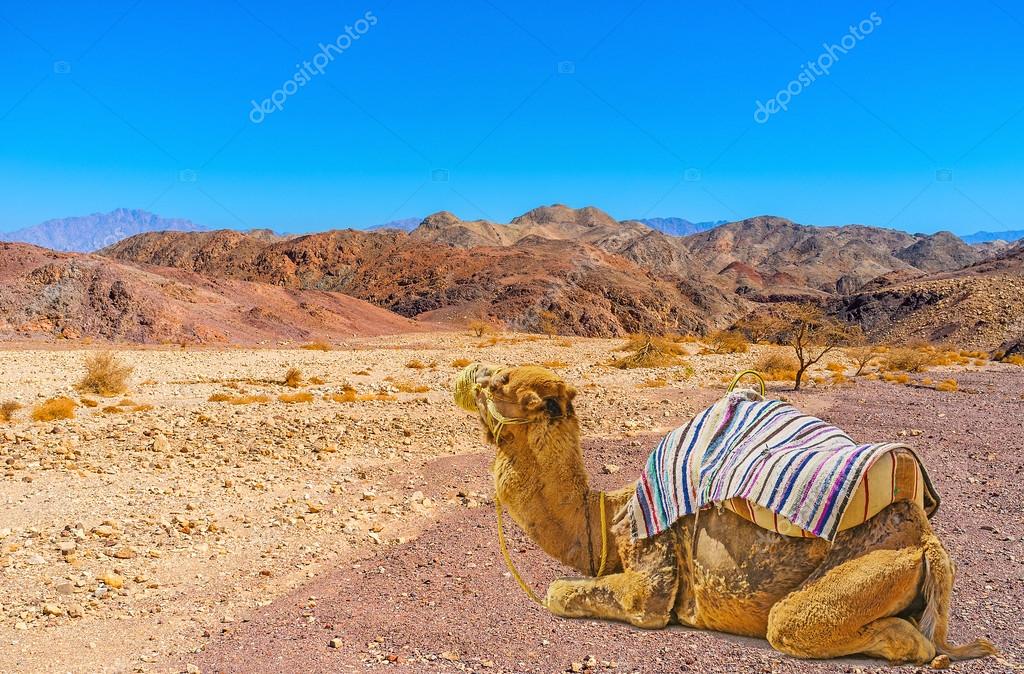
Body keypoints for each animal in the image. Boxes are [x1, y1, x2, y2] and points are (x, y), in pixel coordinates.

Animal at [456, 363, 997, 665]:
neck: (607, 517)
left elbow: (561, 593)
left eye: (500, 382)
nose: (471, 375)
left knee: (802, 626)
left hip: (864, 573)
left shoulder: (653, 569)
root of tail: (926, 541)